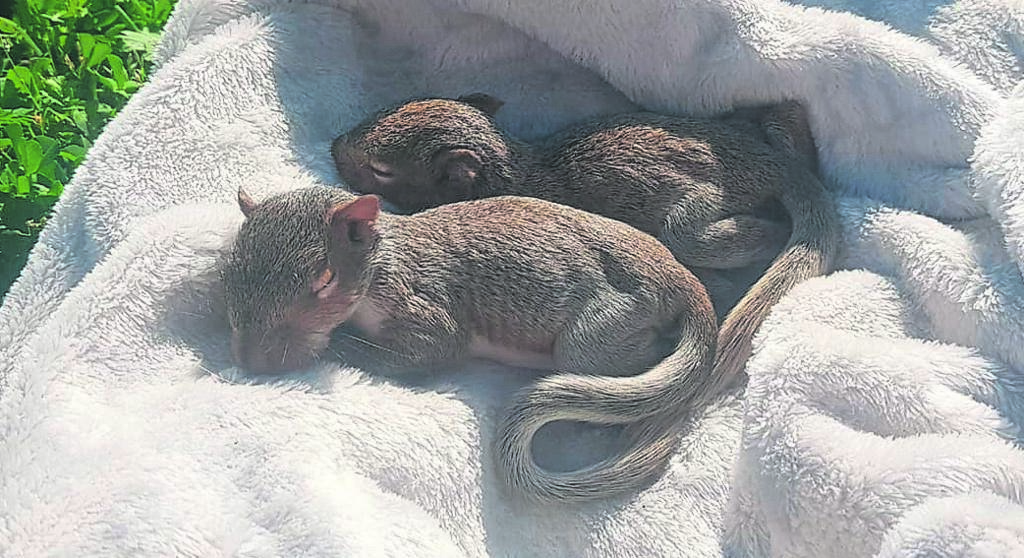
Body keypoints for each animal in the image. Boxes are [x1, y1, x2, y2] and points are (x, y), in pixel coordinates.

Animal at [220, 185, 717, 502]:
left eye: (324, 280)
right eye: (231, 267)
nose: (252, 363)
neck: (383, 260)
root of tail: (676, 276)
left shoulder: (422, 302)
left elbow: (431, 350)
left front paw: (339, 347)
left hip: (597, 333)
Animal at [331, 94, 840, 394]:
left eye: (382, 170)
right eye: (392, 107)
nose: (334, 145)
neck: (514, 166)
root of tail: (773, 167)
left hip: (691, 220)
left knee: (722, 236)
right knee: (780, 119)